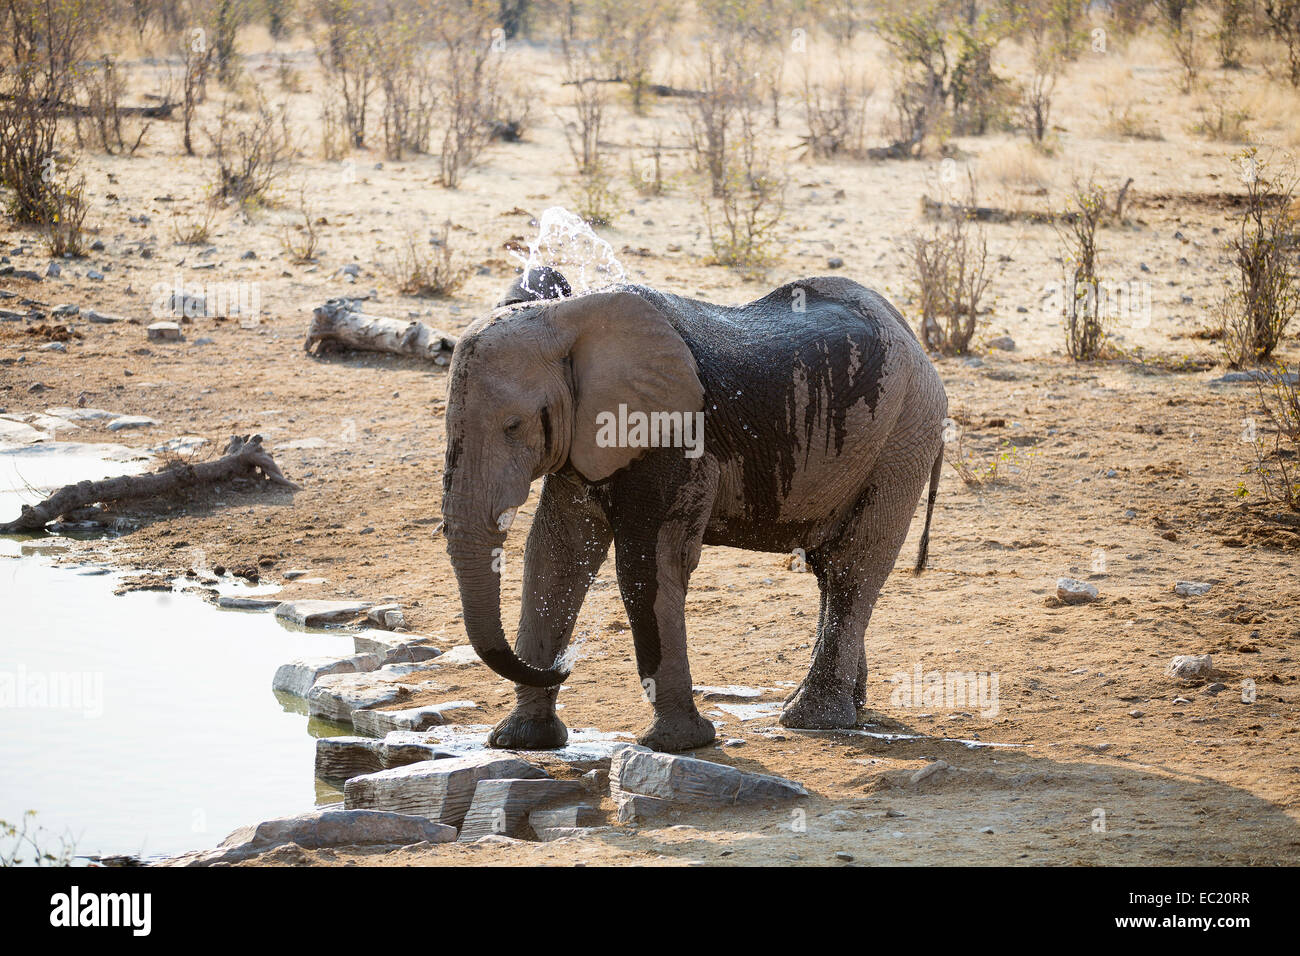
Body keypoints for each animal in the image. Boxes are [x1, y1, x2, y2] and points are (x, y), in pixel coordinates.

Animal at [440, 268, 948, 753]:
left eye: (513, 426)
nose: (566, 667)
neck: (567, 316)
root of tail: (912, 338)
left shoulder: (674, 437)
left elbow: (648, 564)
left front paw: (679, 744)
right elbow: (555, 558)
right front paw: (522, 741)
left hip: (904, 434)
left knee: (851, 569)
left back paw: (812, 719)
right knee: (832, 570)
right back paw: (844, 709)